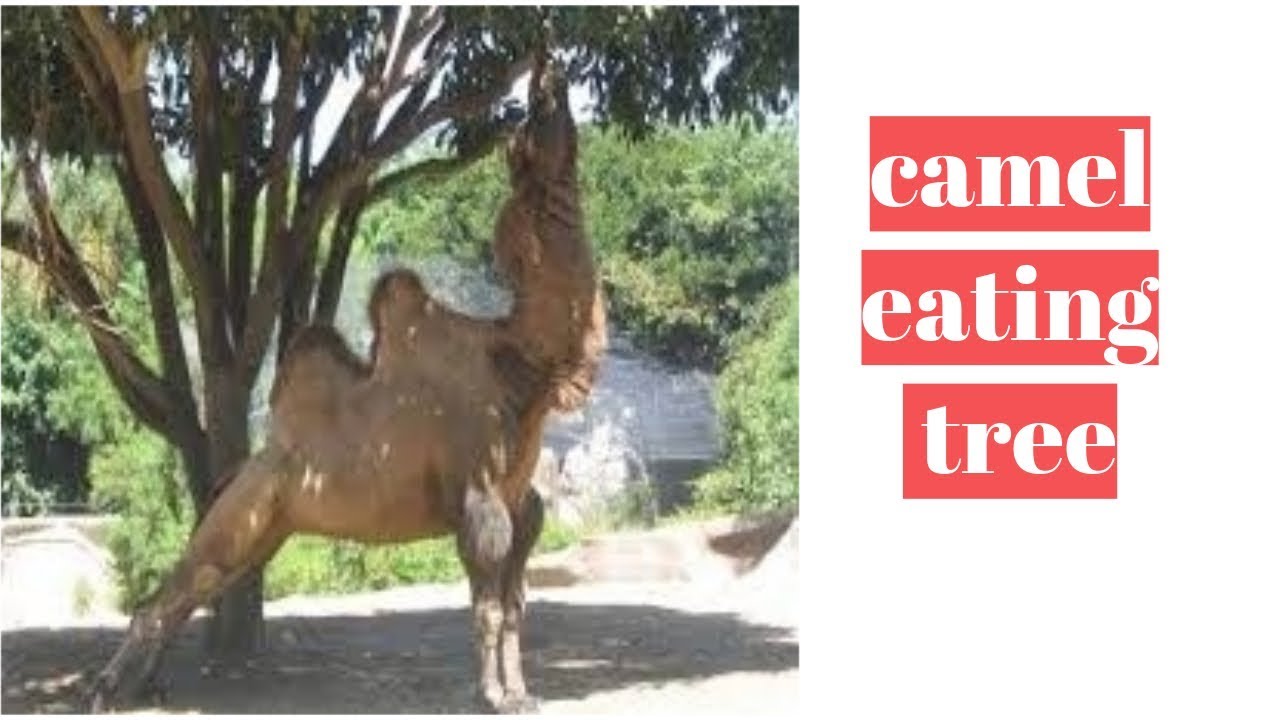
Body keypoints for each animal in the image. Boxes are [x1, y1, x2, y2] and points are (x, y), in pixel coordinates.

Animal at [87, 57, 606, 714]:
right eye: (538, 114)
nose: (549, 71)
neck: (519, 366)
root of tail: (239, 472)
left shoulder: (522, 507)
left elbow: (515, 610)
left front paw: (523, 695)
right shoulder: (480, 500)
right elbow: (489, 610)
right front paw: (493, 696)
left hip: (266, 529)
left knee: (192, 593)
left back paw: (143, 688)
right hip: (245, 512)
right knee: (174, 592)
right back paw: (107, 690)